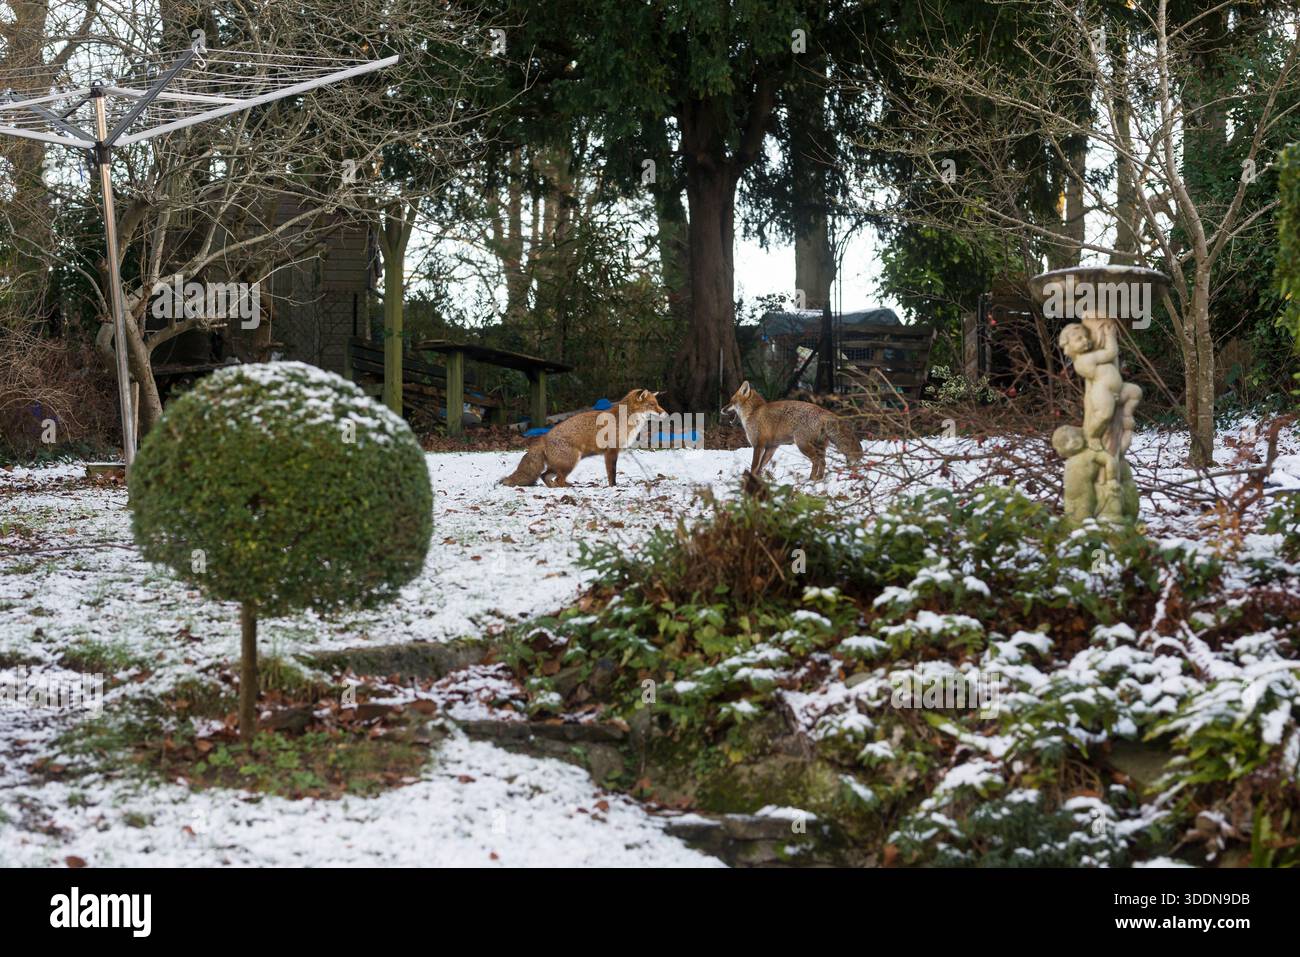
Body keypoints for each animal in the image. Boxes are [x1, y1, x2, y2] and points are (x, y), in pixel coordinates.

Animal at [499, 388, 667, 488]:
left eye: (657, 404)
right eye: (652, 404)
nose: (666, 414)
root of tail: (544, 437)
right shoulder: (611, 452)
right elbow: (612, 474)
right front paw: (613, 487)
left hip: (559, 465)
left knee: (544, 476)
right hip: (570, 462)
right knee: (557, 480)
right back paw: (568, 488)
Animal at [723, 380, 862, 481]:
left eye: (731, 401)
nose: (721, 409)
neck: (753, 412)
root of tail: (824, 411)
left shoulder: (758, 445)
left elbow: (754, 466)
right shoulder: (772, 447)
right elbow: (761, 466)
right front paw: (759, 480)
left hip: (802, 444)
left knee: (816, 460)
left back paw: (812, 478)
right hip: (819, 446)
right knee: (823, 461)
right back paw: (819, 478)